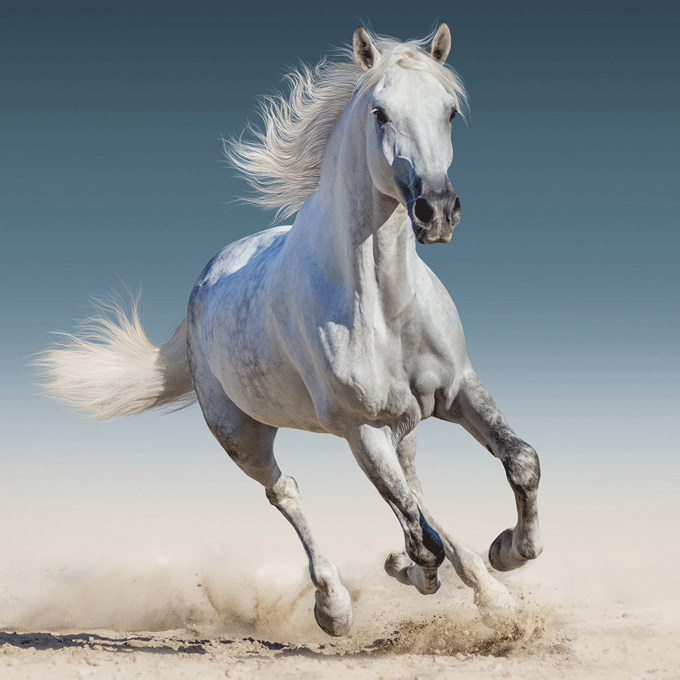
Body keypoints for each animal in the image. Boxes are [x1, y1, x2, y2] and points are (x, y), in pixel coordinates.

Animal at [40, 24, 543, 637]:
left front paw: (507, 552)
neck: (384, 305)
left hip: (403, 424)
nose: (436, 211)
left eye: (449, 111)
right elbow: (419, 536)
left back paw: (489, 591)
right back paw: (335, 606)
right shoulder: (360, 427)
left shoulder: (457, 389)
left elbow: (519, 462)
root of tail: (203, 285)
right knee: (288, 493)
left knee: (415, 488)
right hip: (243, 436)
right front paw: (417, 572)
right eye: (379, 113)